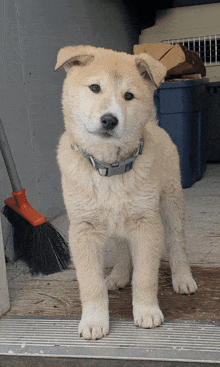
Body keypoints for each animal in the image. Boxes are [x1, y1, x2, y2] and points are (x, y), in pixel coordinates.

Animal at [55, 46, 198, 342]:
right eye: (94, 88)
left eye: (129, 96)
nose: (109, 119)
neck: (109, 169)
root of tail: (154, 123)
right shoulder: (83, 230)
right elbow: (91, 283)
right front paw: (94, 320)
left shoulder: (147, 224)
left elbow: (145, 276)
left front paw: (146, 312)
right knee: (122, 246)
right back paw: (119, 275)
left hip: (171, 202)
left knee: (177, 244)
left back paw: (183, 278)